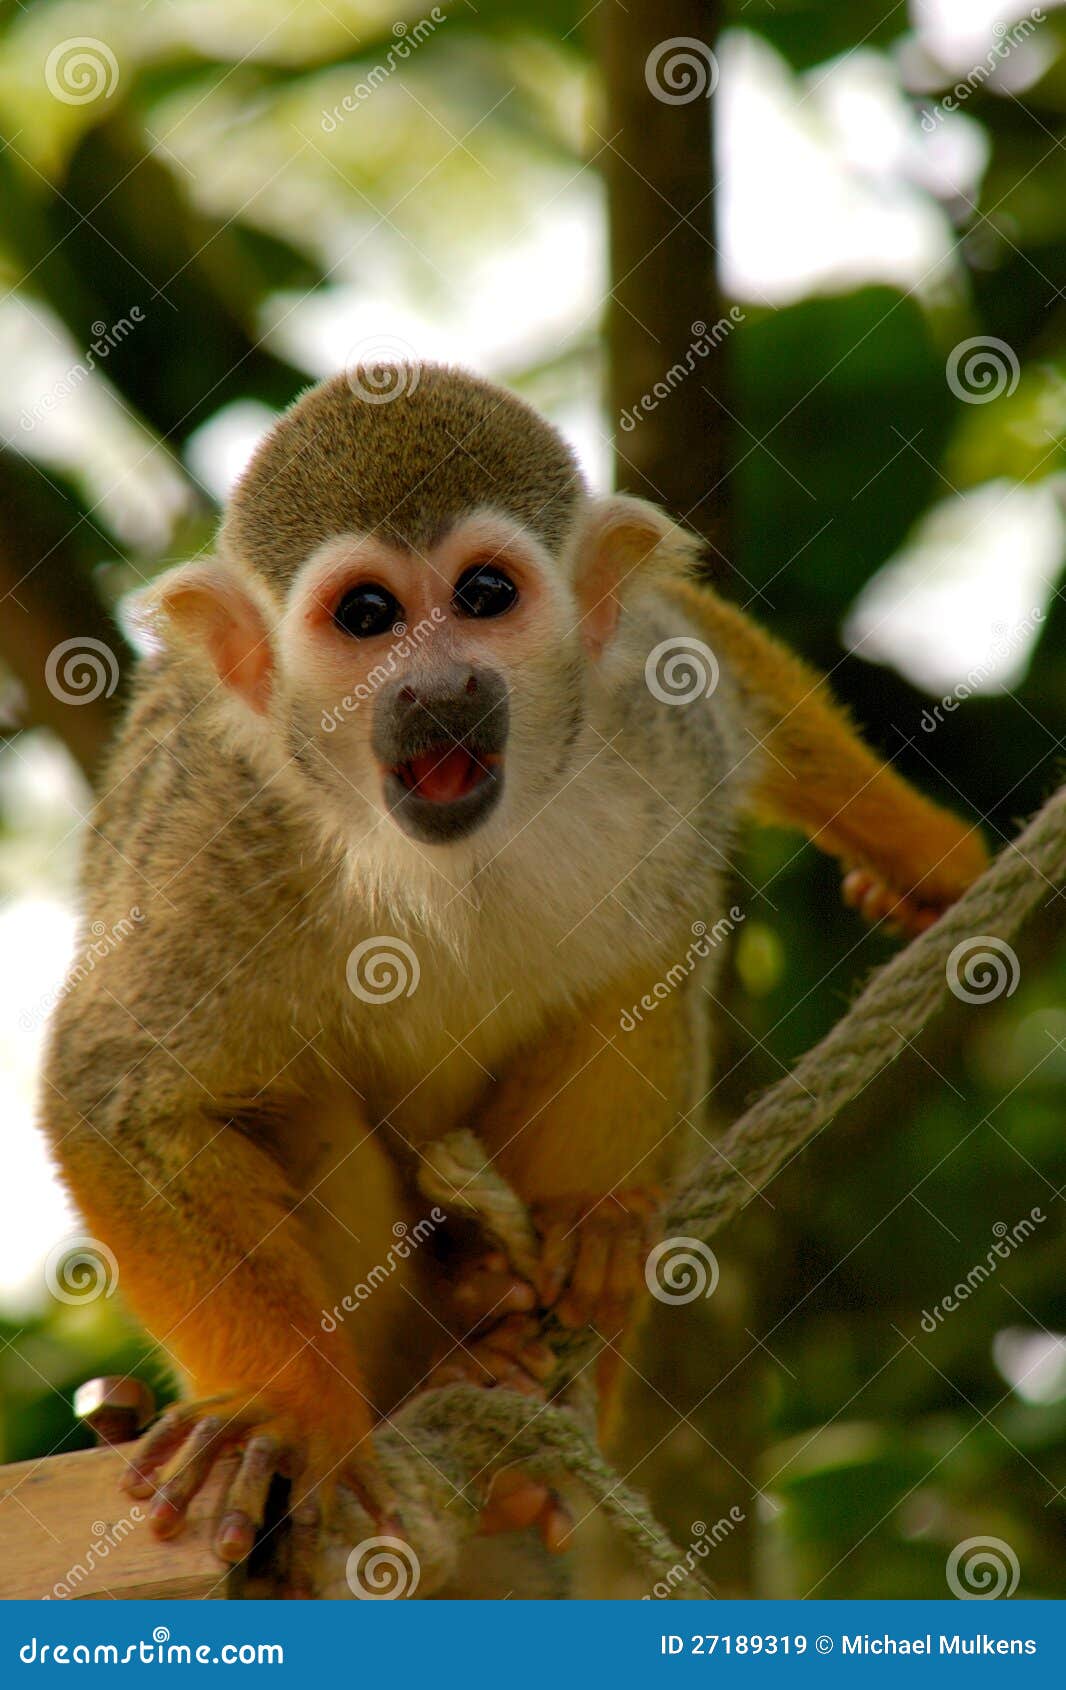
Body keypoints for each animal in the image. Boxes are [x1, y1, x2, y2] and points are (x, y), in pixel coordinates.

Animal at [39, 363, 988, 1592]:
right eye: (366, 617)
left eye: (485, 594)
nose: (439, 685)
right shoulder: (210, 835)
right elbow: (115, 1095)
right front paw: (291, 1411)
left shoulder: (639, 704)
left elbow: (707, 680)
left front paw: (917, 849)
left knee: (640, 959)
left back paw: (544, 1312)